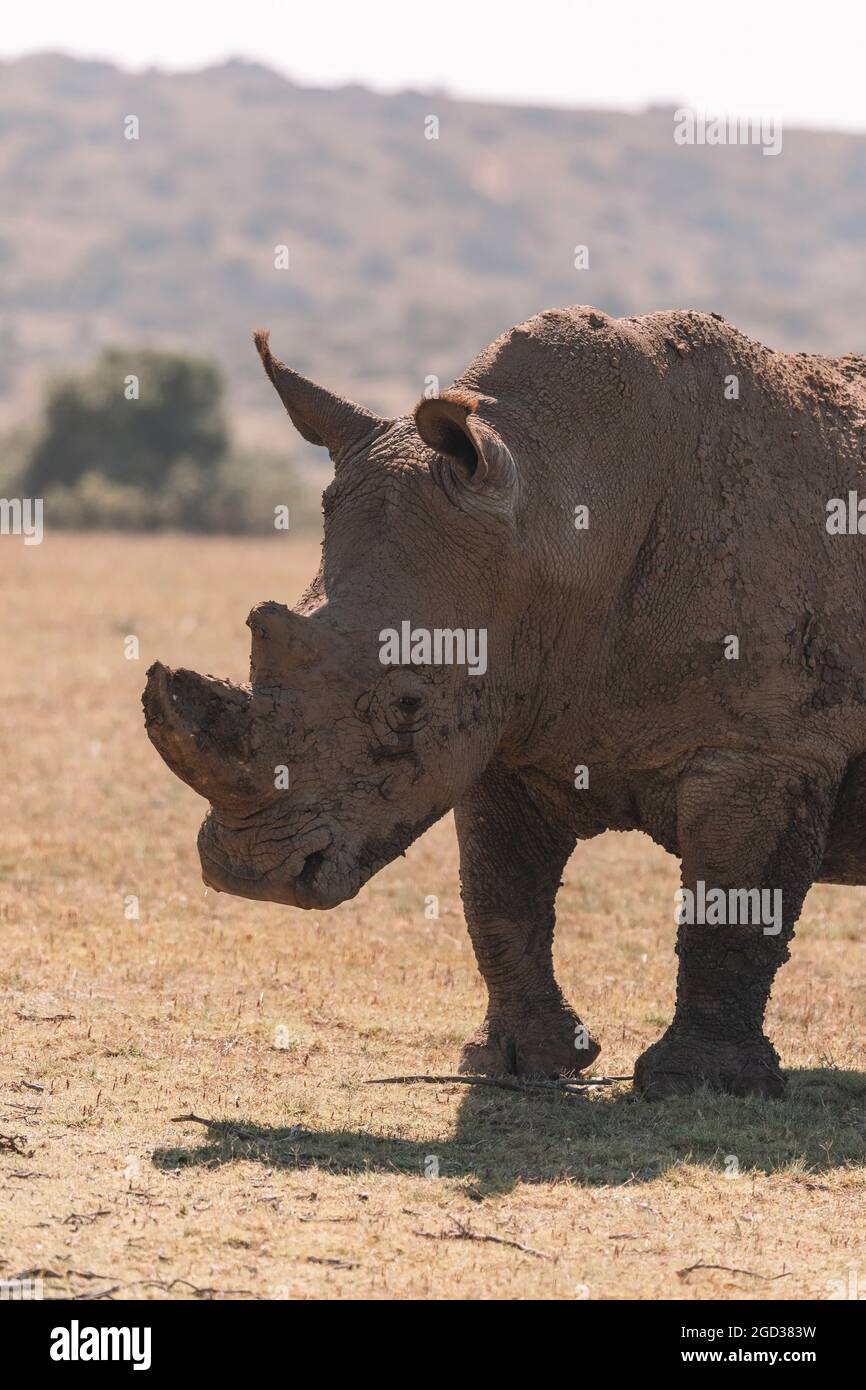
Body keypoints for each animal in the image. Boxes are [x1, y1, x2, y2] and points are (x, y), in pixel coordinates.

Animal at [143, 305, 866, 1099]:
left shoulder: (766, 743)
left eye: (407, 705)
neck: (563, 509)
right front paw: (520, 1062)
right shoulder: (505, 718)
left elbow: (732, 910)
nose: (254, 873)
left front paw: (699, 1086)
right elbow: (498, 897)